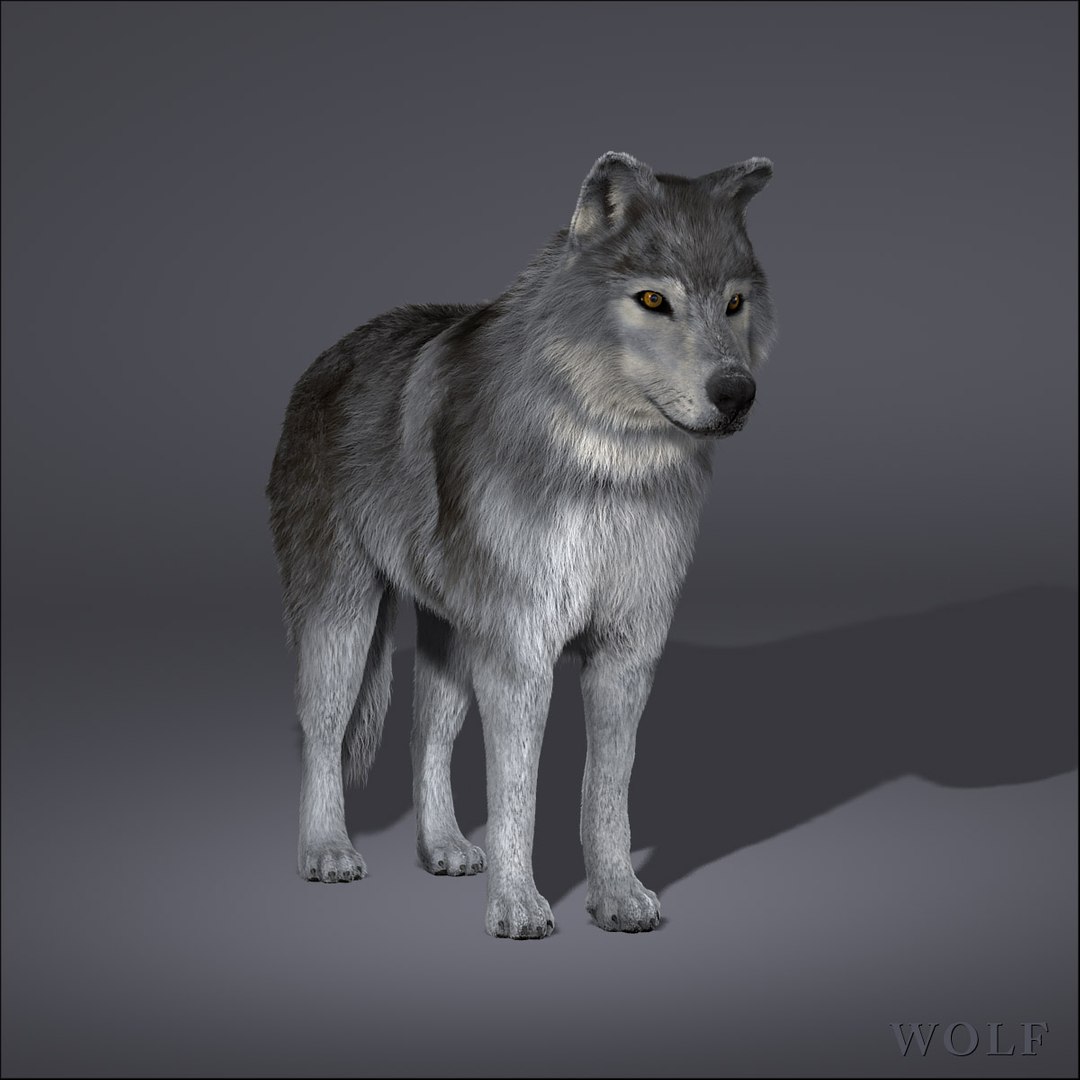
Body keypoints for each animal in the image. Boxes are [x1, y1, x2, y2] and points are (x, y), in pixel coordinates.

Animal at [267, 151, 776, 938]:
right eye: (653, 300)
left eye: (734, 303)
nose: (736, 393)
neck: (605, 466)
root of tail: (327, 357)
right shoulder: (521, 653)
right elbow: (517, 794)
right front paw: (517, 907)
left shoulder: (626, 655)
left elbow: (606, 792)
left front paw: (618, 898)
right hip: (343, 620)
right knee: (321, 732)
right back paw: (326, 852)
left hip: (451, 638)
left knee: (426, 737)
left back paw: (444, 848)